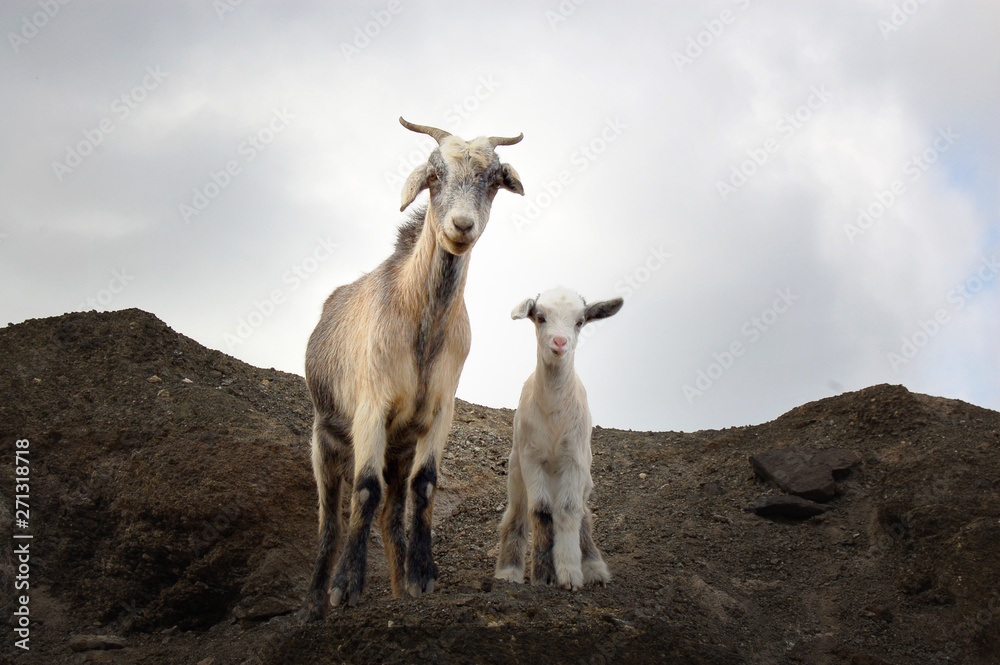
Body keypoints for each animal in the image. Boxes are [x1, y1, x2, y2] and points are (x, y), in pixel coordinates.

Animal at [302, 118, 523, 618]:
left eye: (493, 180)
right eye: (434, 175)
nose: (461, 226)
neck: (422, 325)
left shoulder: (438, 412)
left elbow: (425, 487)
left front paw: (422, 576)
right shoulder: (371, 408)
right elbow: (365, 490)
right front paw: (346, 586)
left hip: (397, 449)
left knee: (390, 512)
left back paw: (400, 586)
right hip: (325, 438)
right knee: (329, 520)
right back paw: (315, 603)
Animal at [495, 286, 623, 589]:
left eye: (580, 321)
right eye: (540, 317)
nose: (560, 342)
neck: (553, 414)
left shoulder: (574, 459)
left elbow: (568, 510)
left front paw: (570, 574)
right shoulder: (532, 458)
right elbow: (541, 512)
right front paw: (543, 575)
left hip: (585, 477)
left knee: (583, 513)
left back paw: (594, 567)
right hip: (516, 472)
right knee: (517, 513)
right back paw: (508, 571)